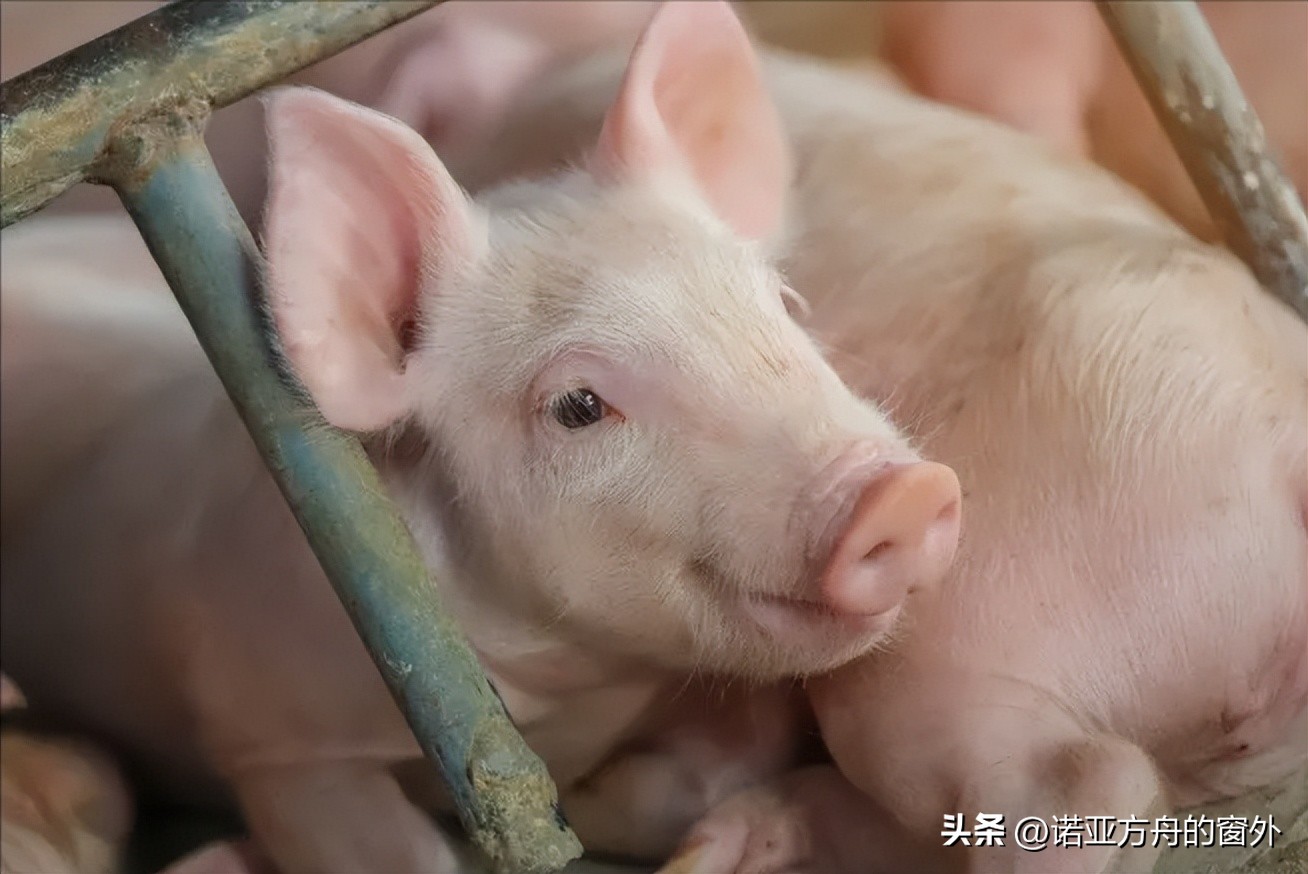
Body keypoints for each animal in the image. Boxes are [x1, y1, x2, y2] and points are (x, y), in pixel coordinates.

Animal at [0, 3, 964, 871]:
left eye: (787, 306)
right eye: (578, 406)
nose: (904, 492)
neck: (571, 698)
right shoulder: (274, 739)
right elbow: (390, 850)